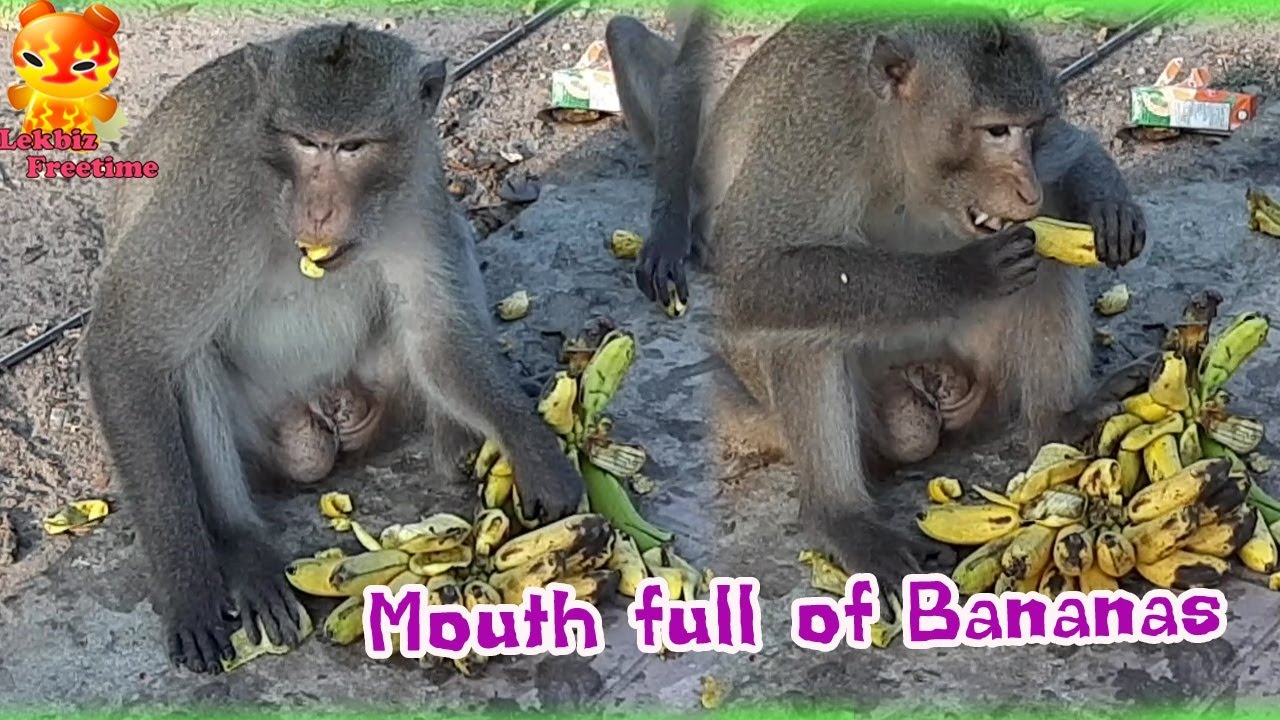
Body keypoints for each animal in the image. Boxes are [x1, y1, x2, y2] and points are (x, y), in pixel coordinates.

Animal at [81, 23, 584, 674]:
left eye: (352, 147)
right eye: (304, 141)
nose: (318, 209)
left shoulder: (418, 179)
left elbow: (435, 329)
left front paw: (532, 448)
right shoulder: (218, 197)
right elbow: (128, 345)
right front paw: (188, 586)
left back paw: (451, 434)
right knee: (188, 361)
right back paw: (242, 543)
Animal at [611, 5, 1151, 587]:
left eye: (1032, 130)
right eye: (996, 131)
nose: (1026, 189)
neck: (897, 144)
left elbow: (1070, 157)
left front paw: (1109, 207)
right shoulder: (820, 130)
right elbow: (754, 271)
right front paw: (963, 274)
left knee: (1045, 251)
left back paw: (1063, 418)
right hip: (859, 417)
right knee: (796, 327)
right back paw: (842, 518)